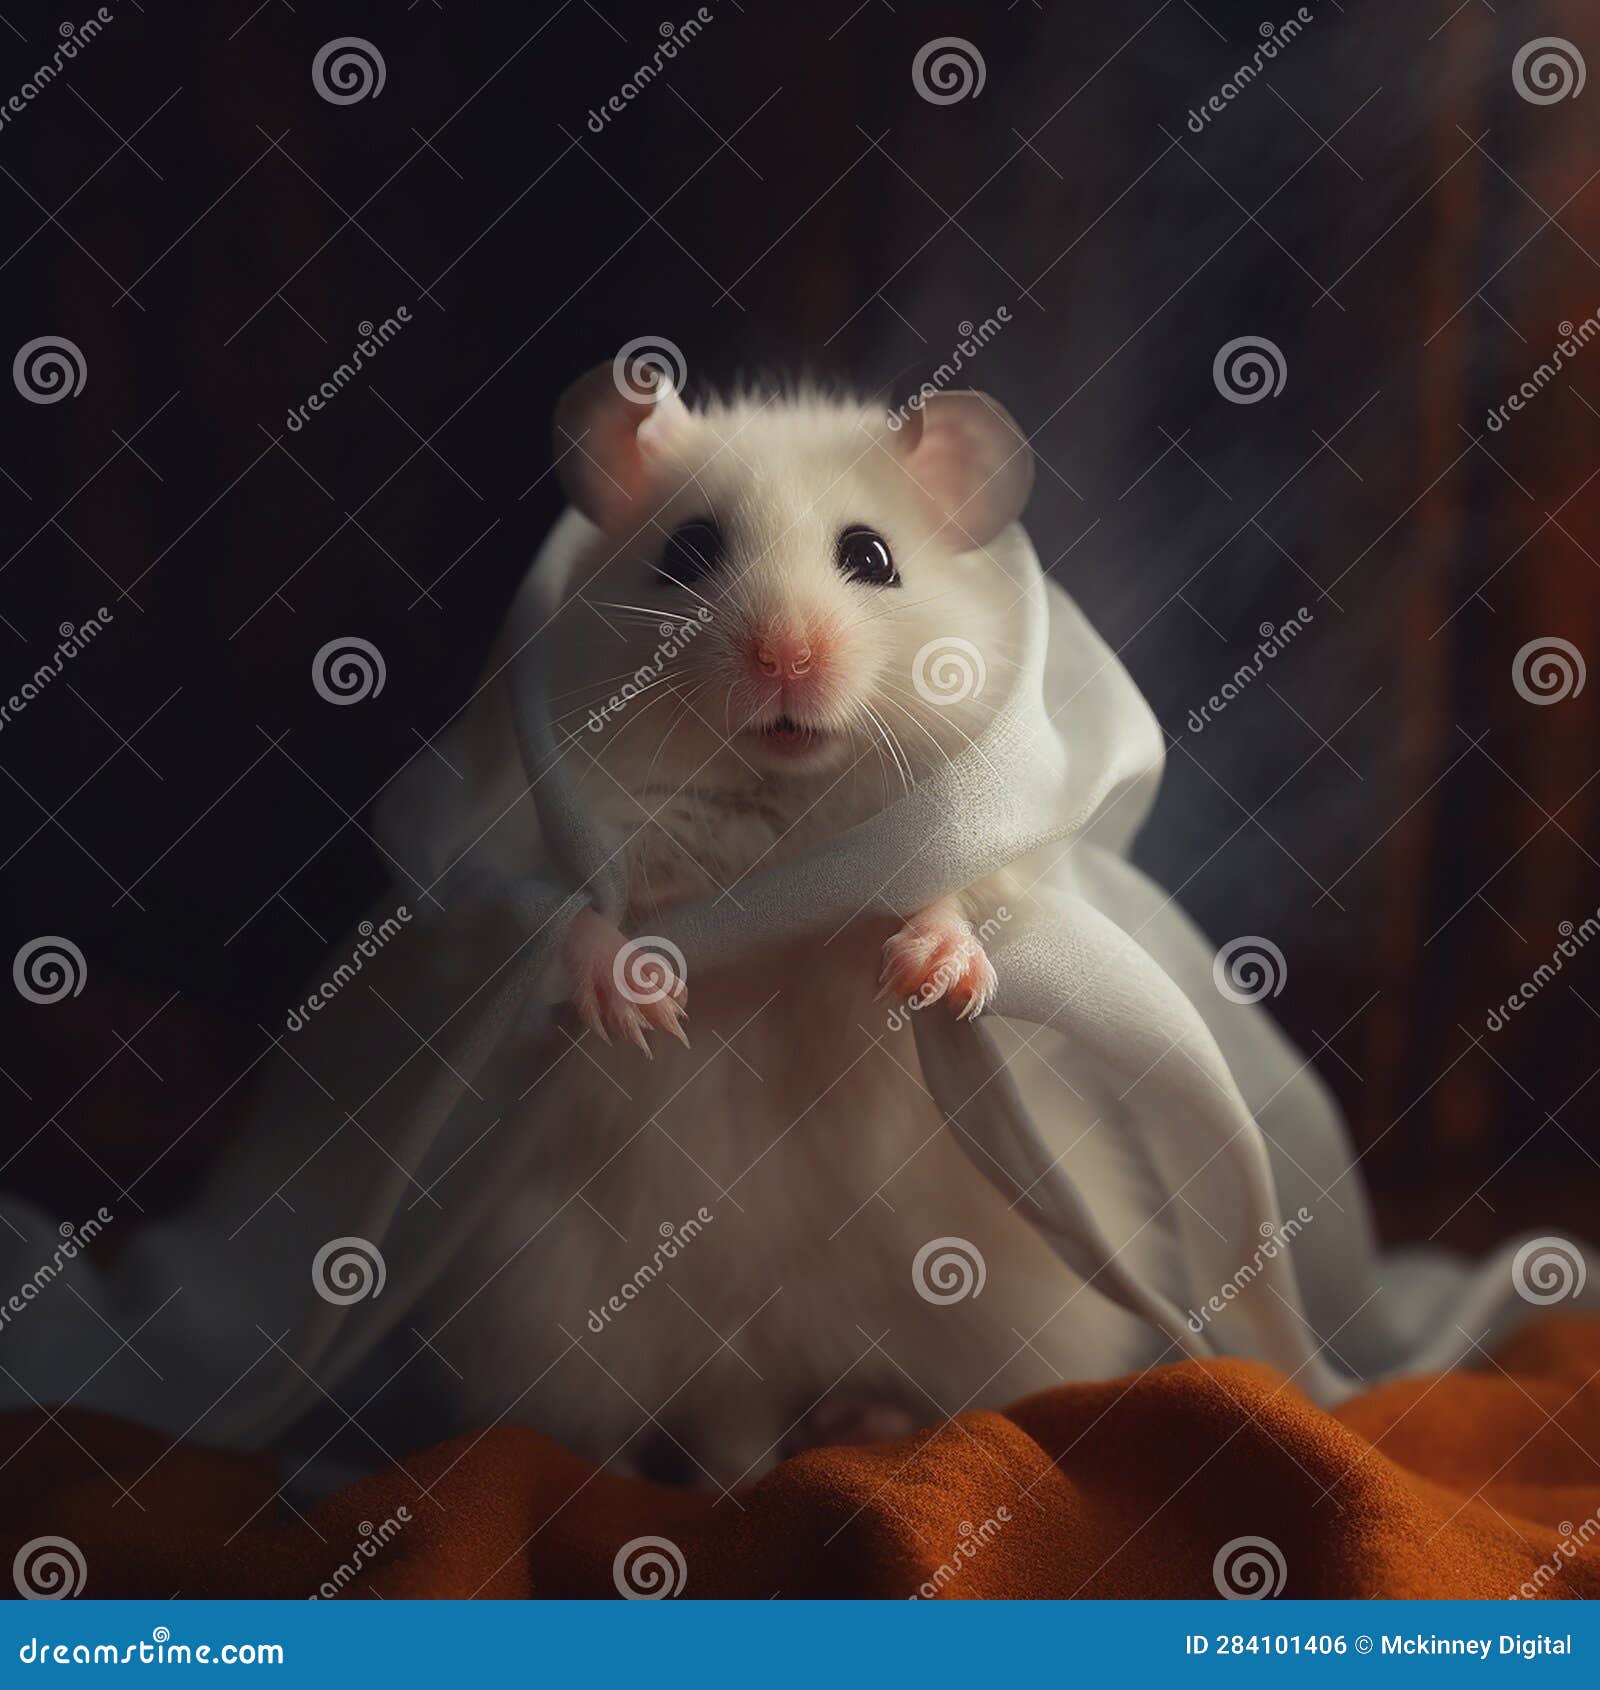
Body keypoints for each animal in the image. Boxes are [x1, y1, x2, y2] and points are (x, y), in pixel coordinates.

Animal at [414, 366, 1136, 1491]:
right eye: (687, 553)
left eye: (872, 556)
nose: (784, 658)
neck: (784, 800)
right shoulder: (558, 841)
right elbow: (580, 923)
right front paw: (643, 1010)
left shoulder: (986, 837)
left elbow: (962, 899)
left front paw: (925, 974)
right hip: (565, 1307)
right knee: (705, 1429)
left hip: (1016, 1293)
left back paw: (864, 1419)